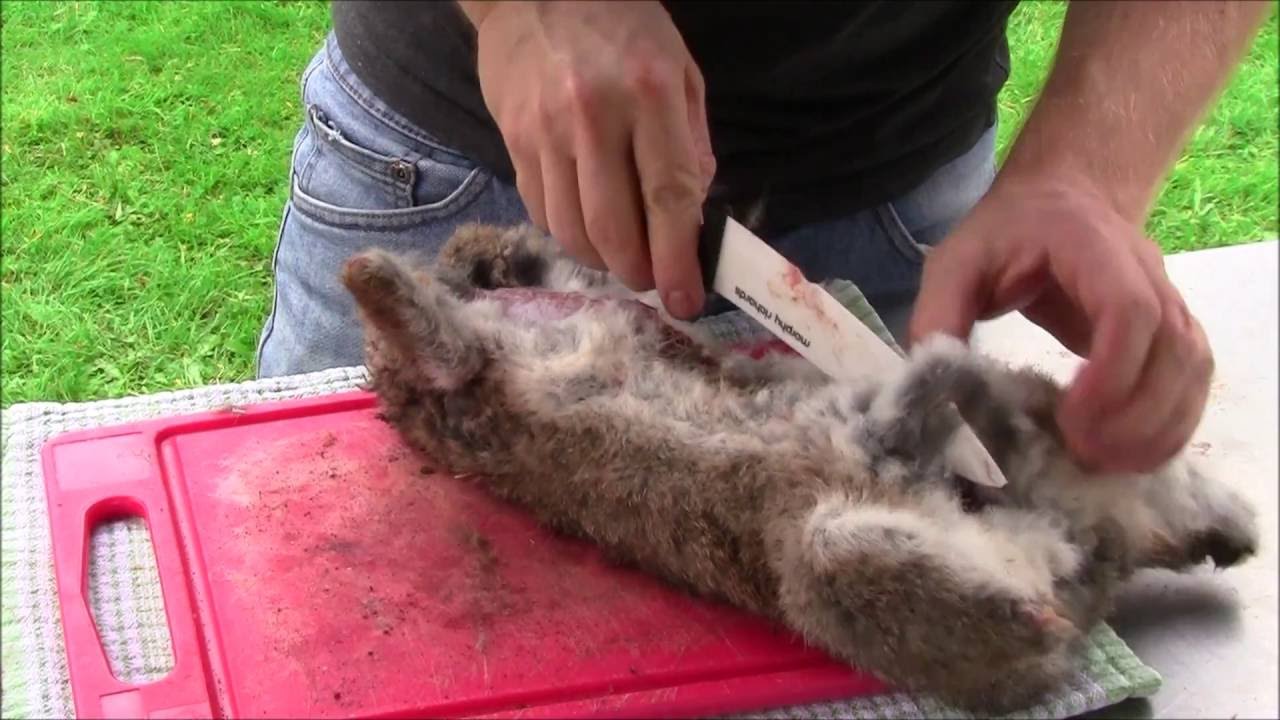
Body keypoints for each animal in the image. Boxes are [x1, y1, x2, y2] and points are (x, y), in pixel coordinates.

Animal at [338, 222, 1258, 713]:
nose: (485, 259)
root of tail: (1075, 561)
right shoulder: (469, 368)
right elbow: (419, 318)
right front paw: (379, 272)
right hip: (830, 551)